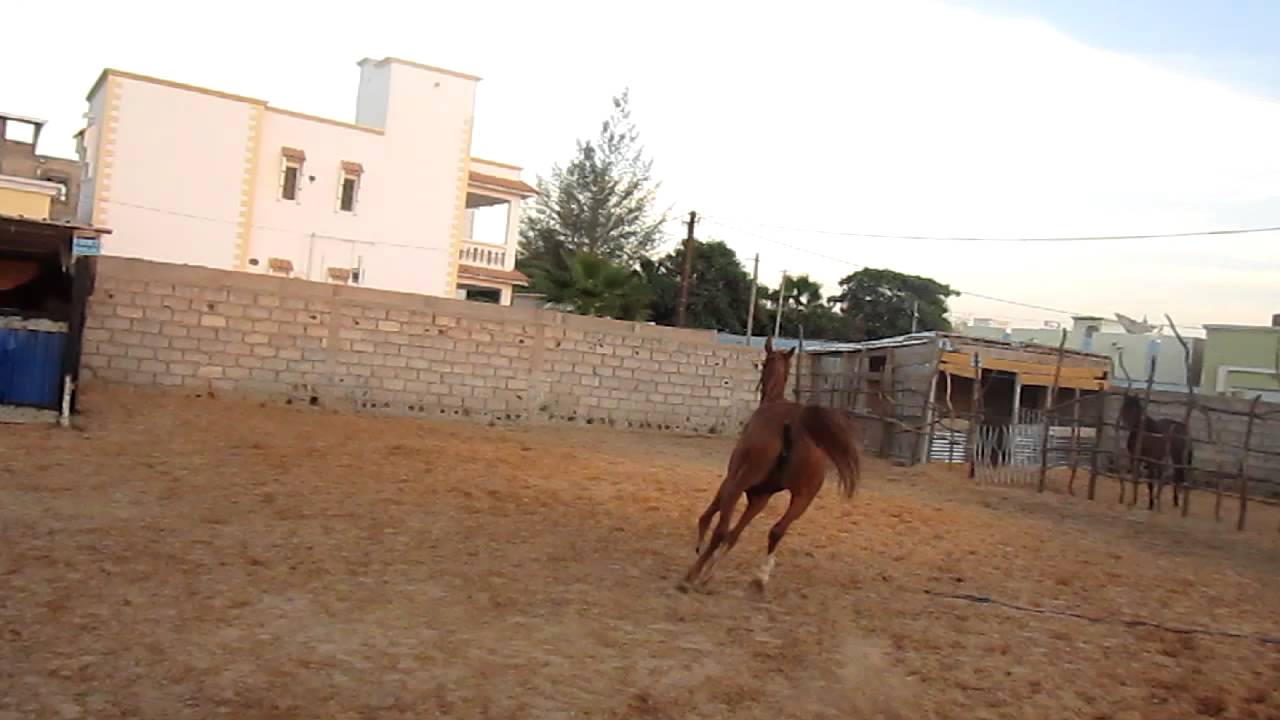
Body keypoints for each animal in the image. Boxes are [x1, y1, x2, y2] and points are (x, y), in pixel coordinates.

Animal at [679, 337, 861, 593]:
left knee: (722, 530)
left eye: (764, 363)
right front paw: (710, 572)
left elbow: (713, 516)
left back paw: (690, 576)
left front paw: (701, 553)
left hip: (741, 482)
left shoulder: (733, 478)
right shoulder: (760, 497)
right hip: (803, 497)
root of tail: (794, 424)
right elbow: (736, 535)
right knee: (776, 531)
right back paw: (760, 578)